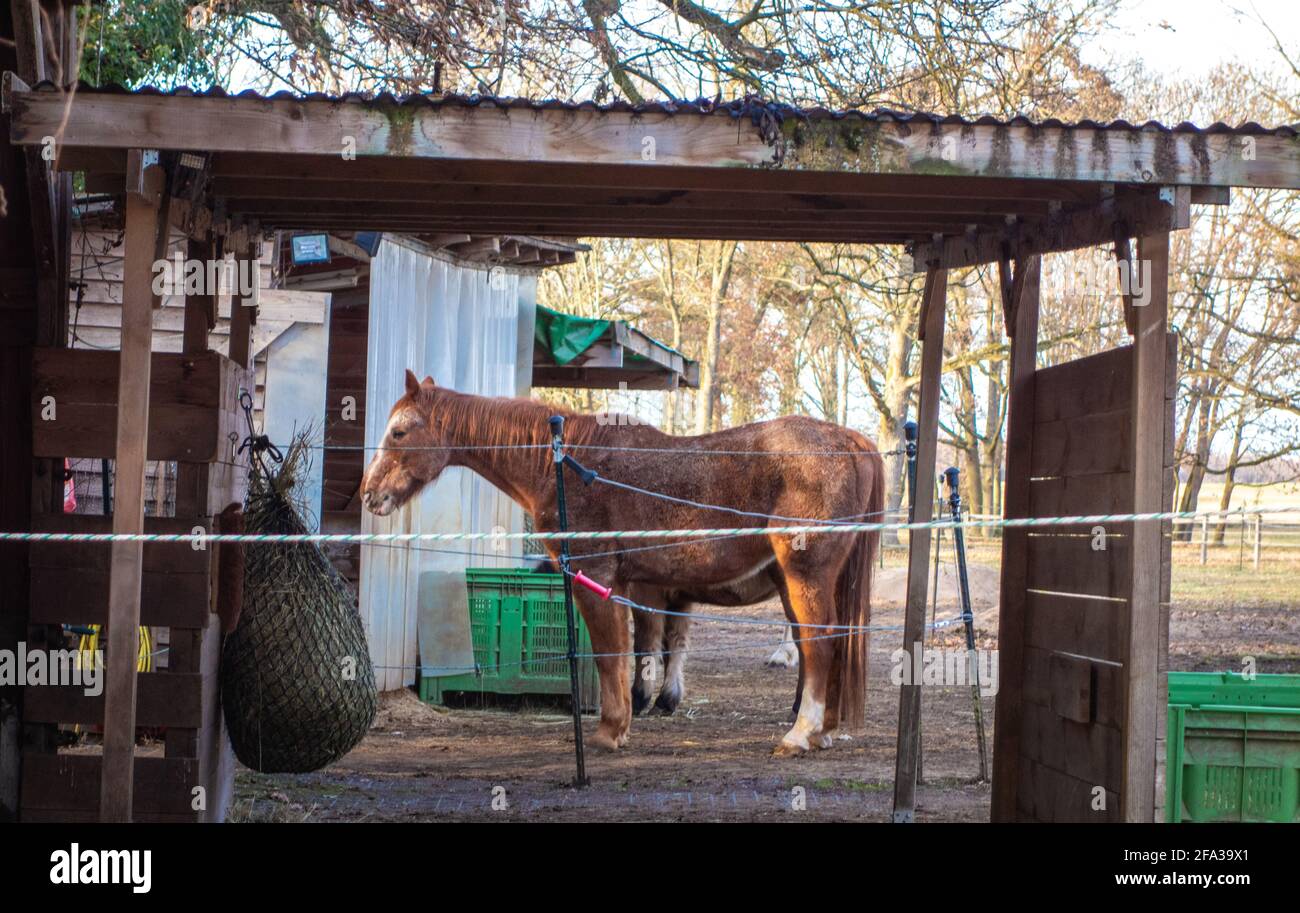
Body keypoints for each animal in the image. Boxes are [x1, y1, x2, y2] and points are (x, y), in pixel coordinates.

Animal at [361, 370, 883, 755]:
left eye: (399, 431)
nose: (369, 493)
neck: (566, 464)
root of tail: (850, 440)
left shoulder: (596, 579)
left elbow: (610, 653)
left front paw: (610, 731)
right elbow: (632, 651)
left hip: (803, 578)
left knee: (820, 644)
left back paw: (800, 734)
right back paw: (823, 730)